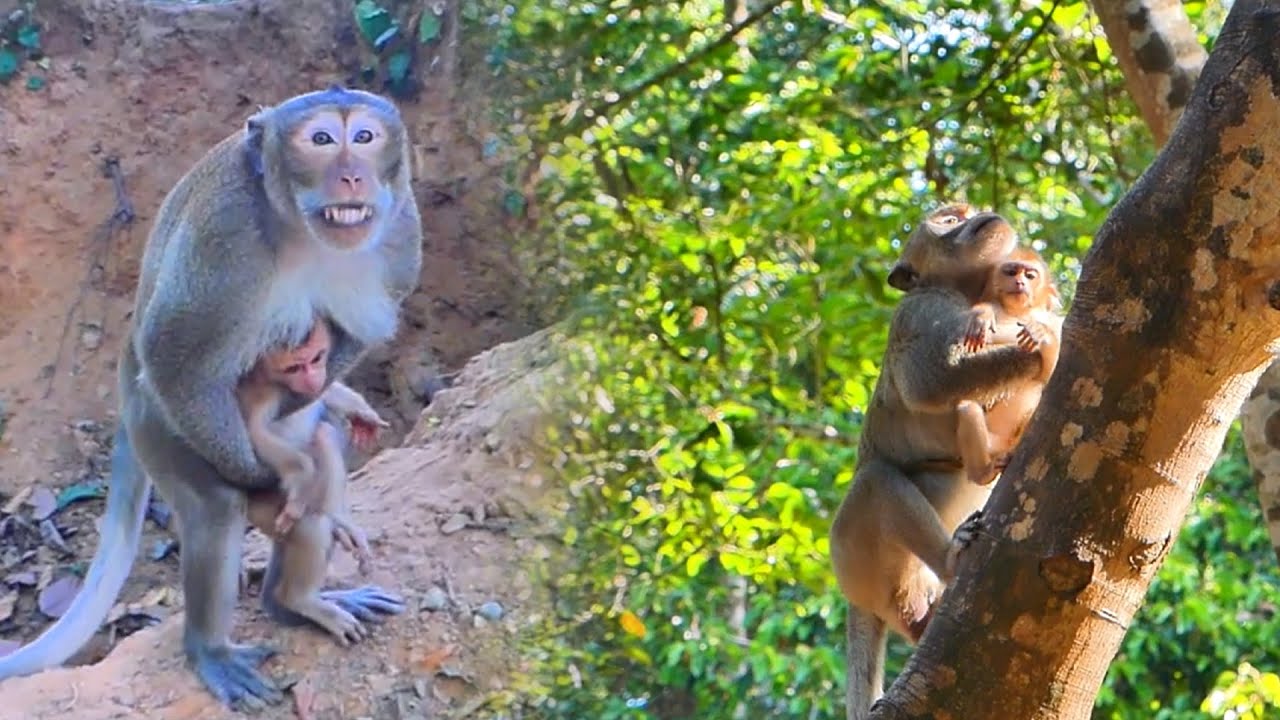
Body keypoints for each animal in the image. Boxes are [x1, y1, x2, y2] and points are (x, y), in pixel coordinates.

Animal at [0, 87, 423, 711]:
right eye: (322, 140)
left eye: (365, 137)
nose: (351, 175)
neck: (300, 230)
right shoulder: (224, 239)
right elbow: (178, 360)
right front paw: (257, 475)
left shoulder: (400, 231)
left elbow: (353, 340)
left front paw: (333, 403)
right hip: (157, 425)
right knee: (213, 506)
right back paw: (213, 647)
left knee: (320, 442)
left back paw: (287, 601)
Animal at [828, 204, 1046, 720]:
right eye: (946, 220)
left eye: (963, 211)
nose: (978, 214)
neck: (962, 290)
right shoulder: (920, 312)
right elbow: (933, 381)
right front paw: (1049, 348)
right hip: (859, 555)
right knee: (875, 482)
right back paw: (950, 559)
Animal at [954, 248, 1064, 486]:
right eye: (1011, 272)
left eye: (1030, 275)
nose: (1020, 282)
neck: (1018, 313)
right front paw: (983, 314)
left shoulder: (1056, 323)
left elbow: (1052, 375)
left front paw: (1041, 334)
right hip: (993, 443)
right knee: (967, 408)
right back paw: (982, 473)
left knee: (1038, 389)